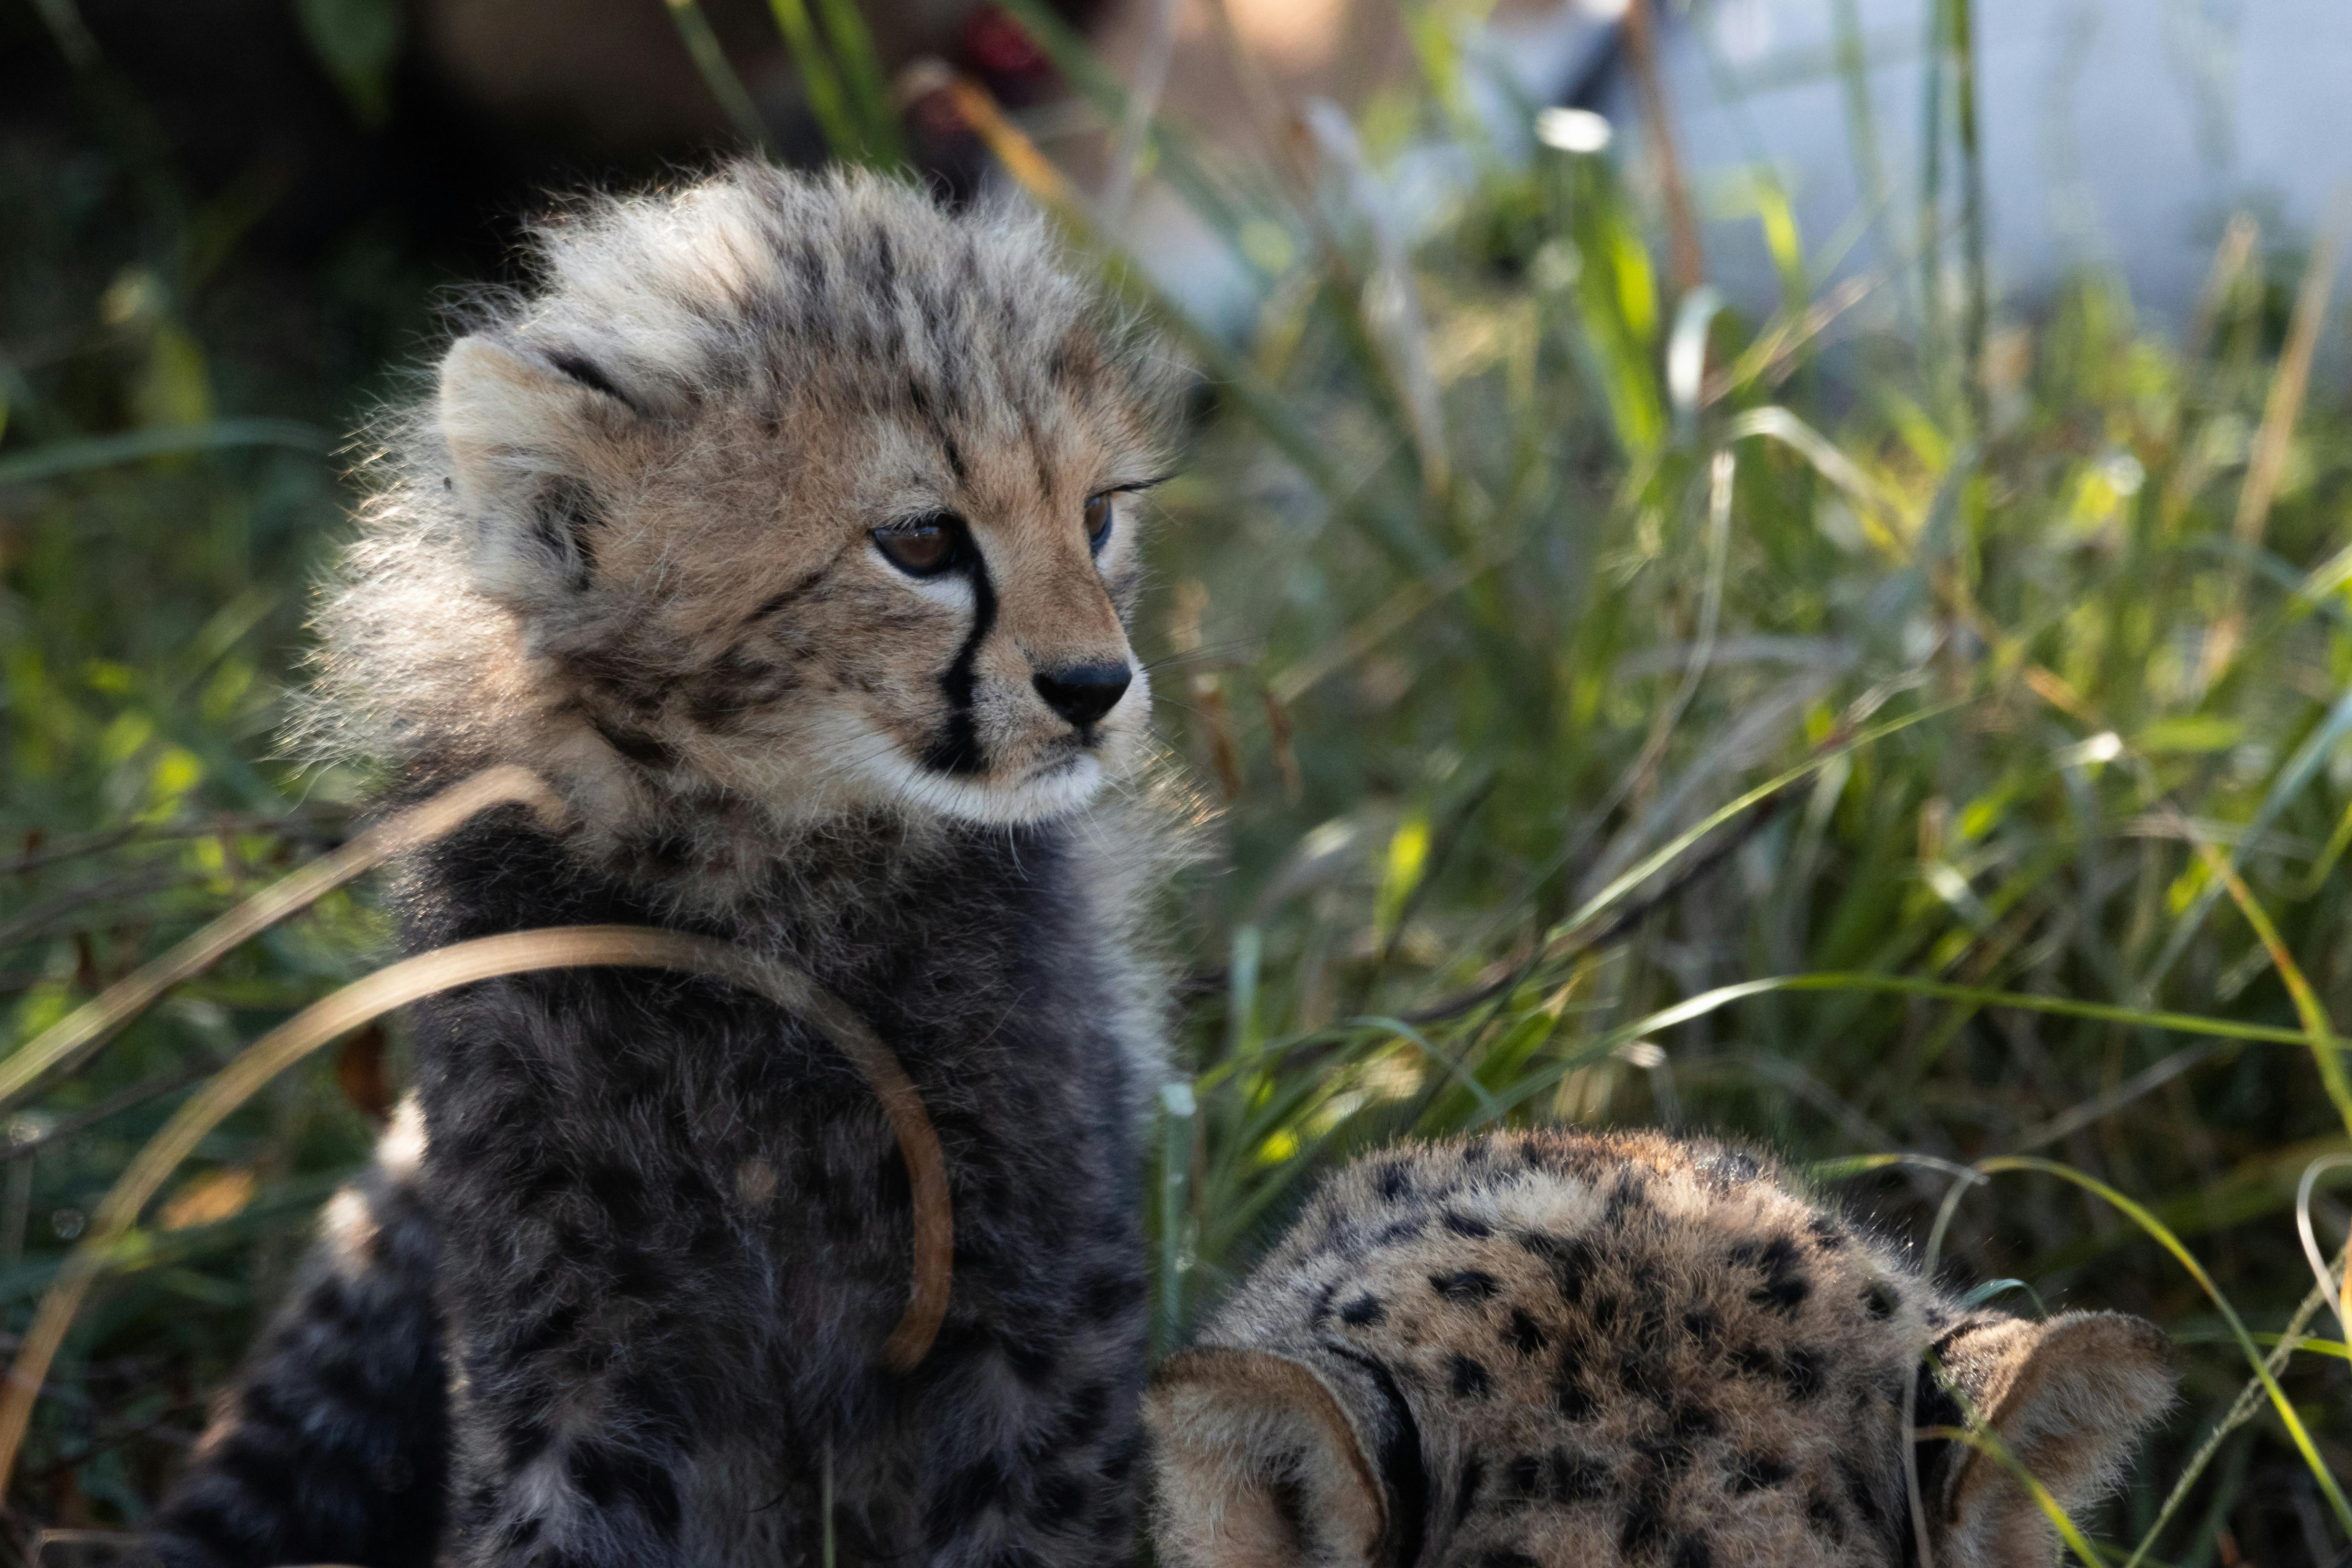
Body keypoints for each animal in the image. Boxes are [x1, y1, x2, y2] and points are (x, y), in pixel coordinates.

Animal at [149, 161, 1193, 1568]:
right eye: (922, 539)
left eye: (1095, 517)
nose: (1096, 687)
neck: (757, 873)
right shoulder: (573, 1321)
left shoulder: (1031, 1291)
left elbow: (1036, 1503)